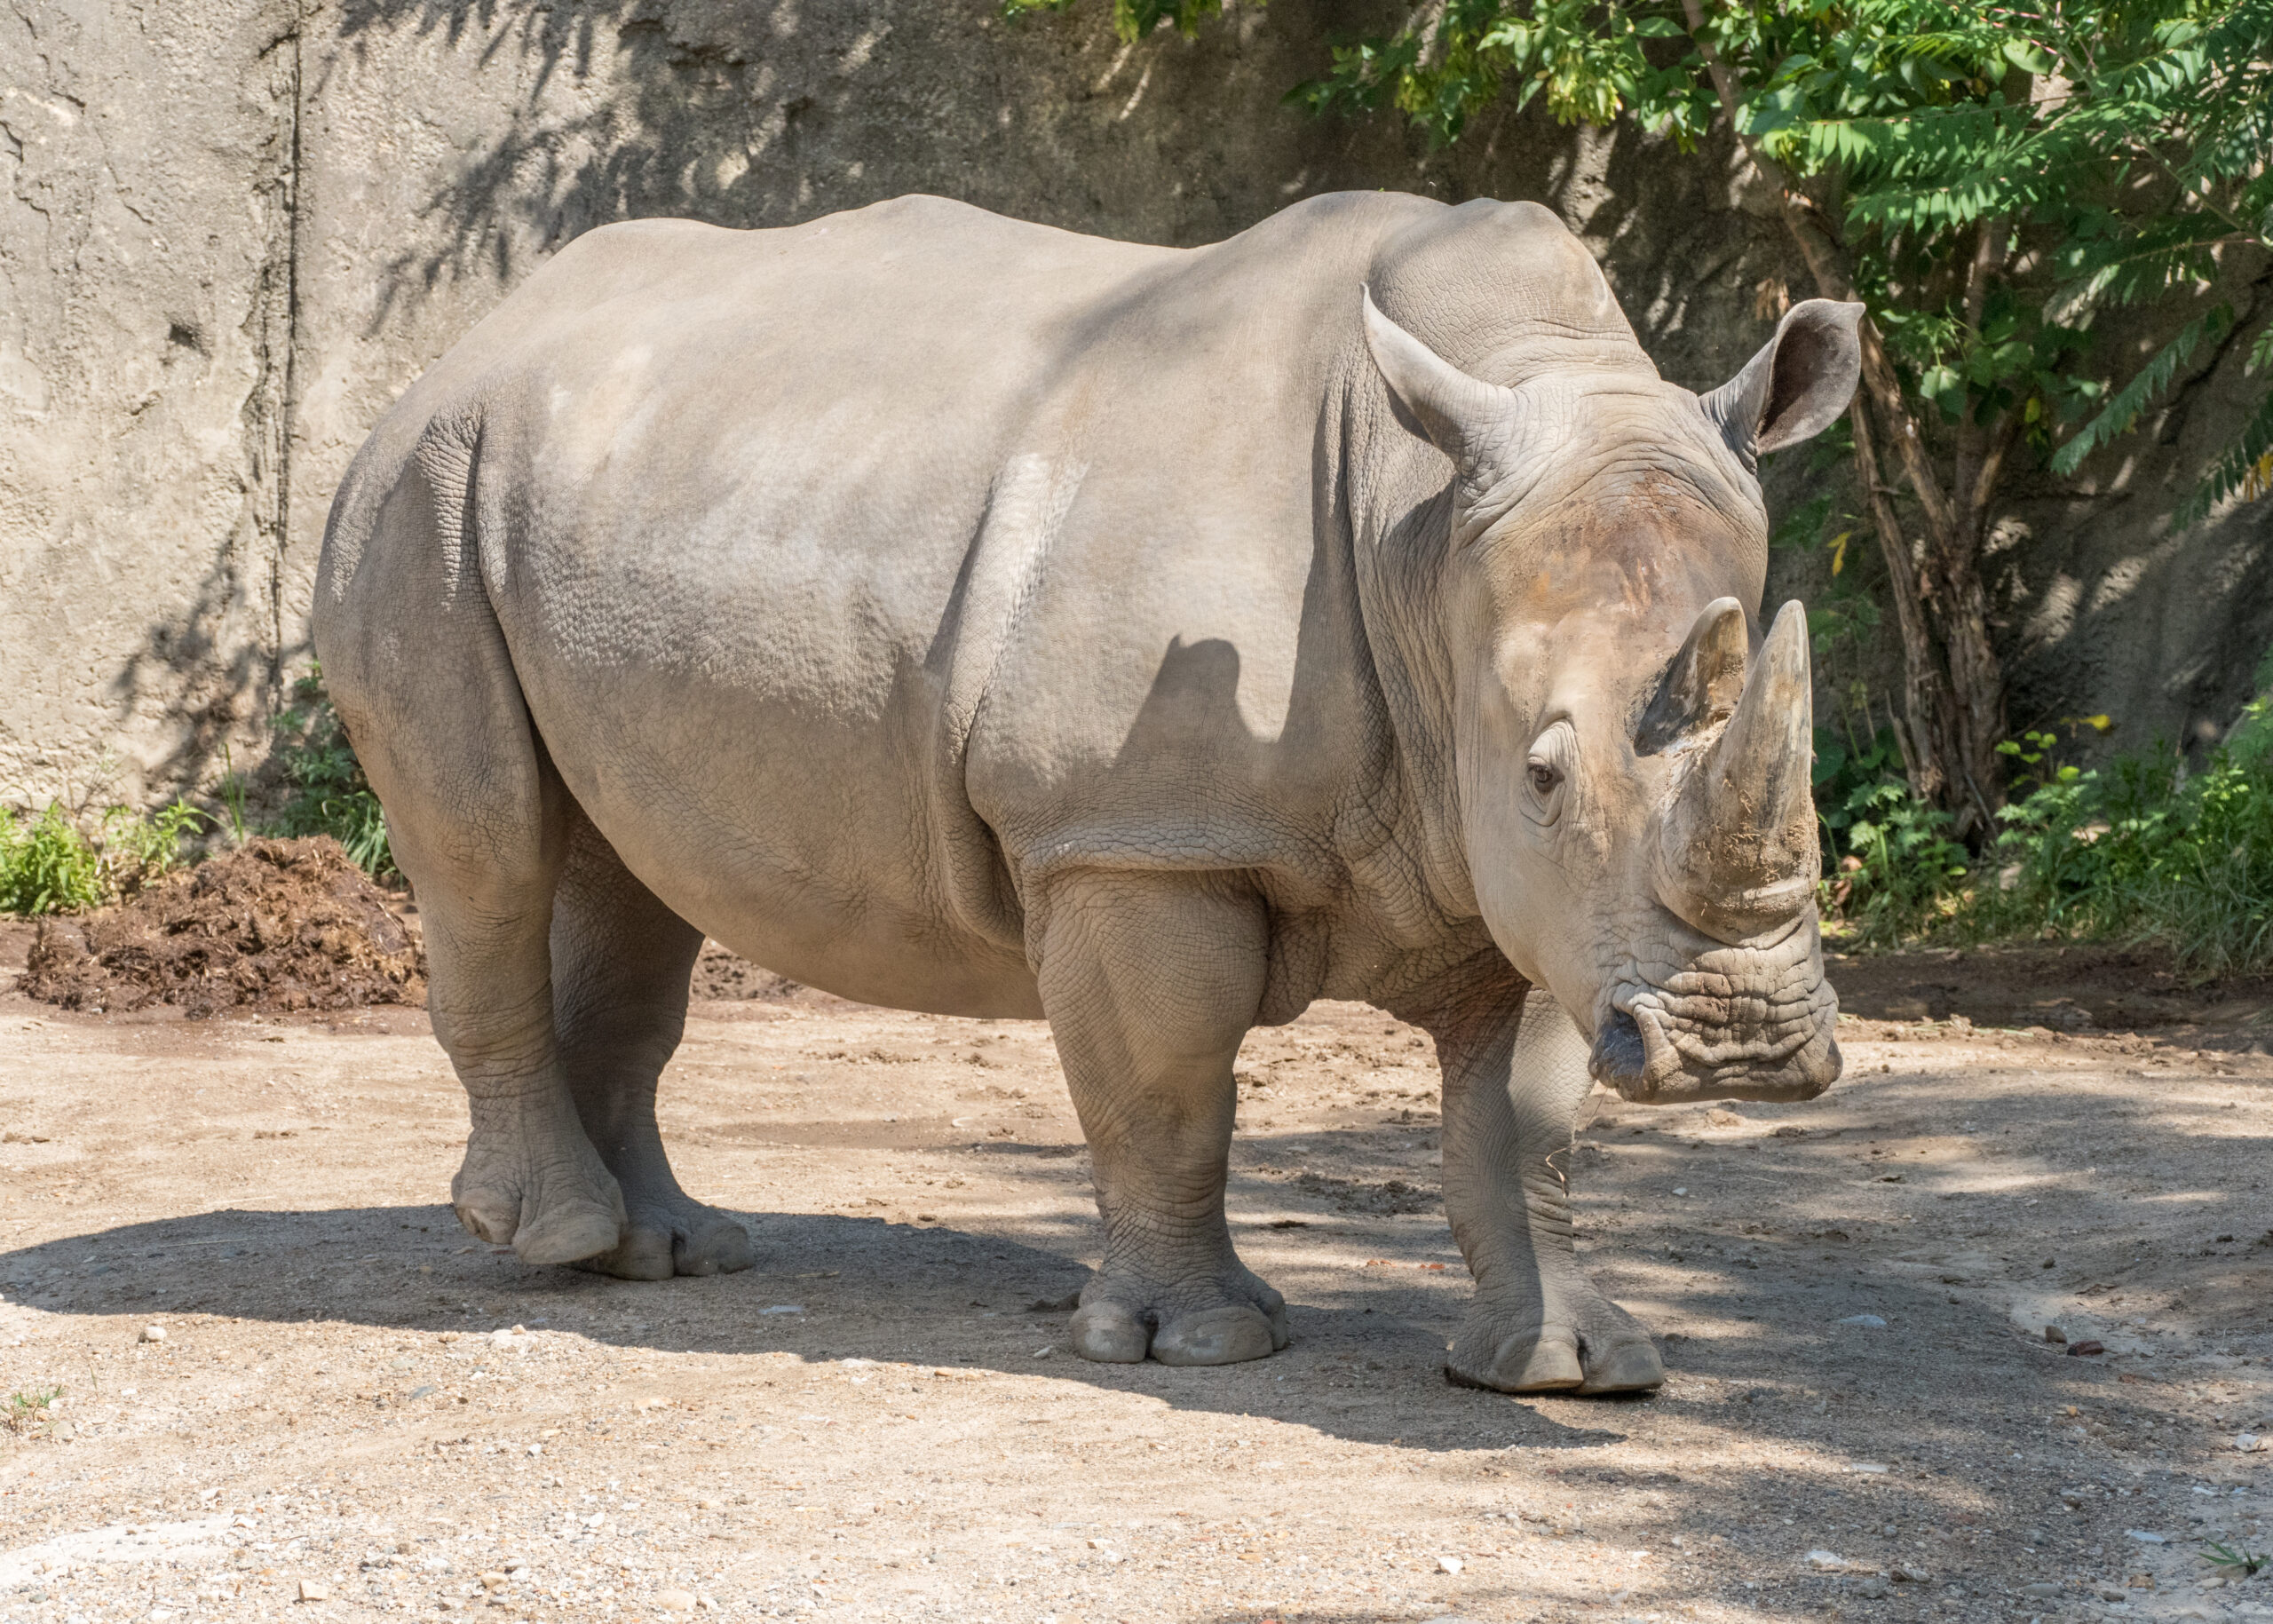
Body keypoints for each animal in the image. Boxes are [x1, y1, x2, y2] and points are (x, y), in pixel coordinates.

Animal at [315, 191, 1856, 1394]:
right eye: (1543, 768)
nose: (1744, 1048)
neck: (1420, 531)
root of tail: (466, 346)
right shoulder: (1133, 833)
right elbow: (1170, 1080)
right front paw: (1199, 1344)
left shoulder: (1530, 884)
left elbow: (1525, 1121)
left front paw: (1568, 1369)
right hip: (422, 492)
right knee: (489, 851)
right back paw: (558, 1240)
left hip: (603, 500)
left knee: (630, 877)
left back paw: (666, 1253)